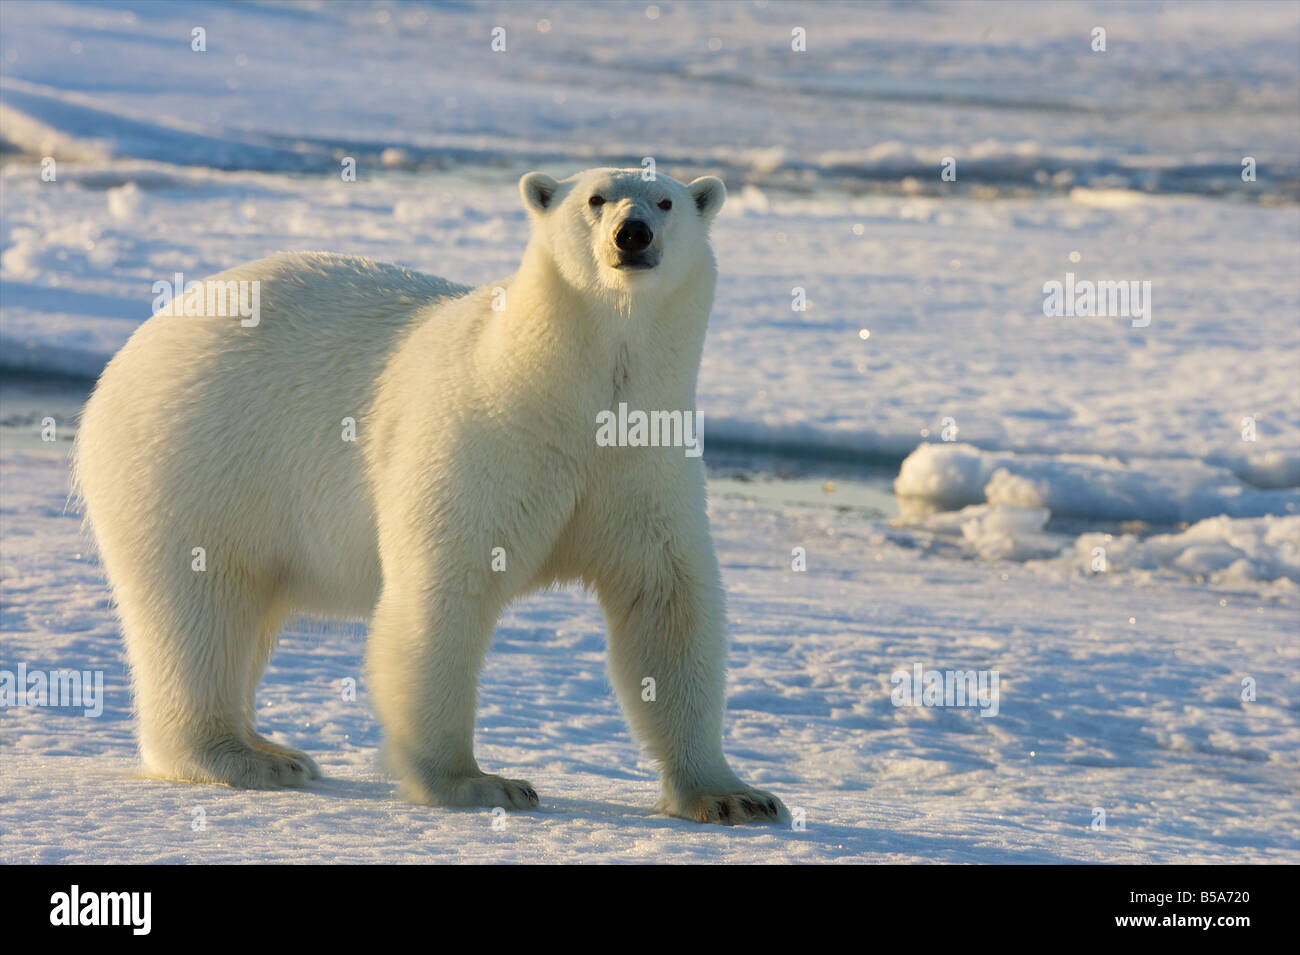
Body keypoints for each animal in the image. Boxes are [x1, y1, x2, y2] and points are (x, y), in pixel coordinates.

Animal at [74, 167, 789, 825]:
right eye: (595, 199)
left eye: (665, 201)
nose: (632, 234)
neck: (567, 391)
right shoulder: (485, 440)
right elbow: (444, 592)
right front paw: (478, 783)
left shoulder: (643, 462)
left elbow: (666, 602)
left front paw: (734, 795)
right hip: (196, 461)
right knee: (200, 606)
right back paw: (246, 757)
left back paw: (270, 744)